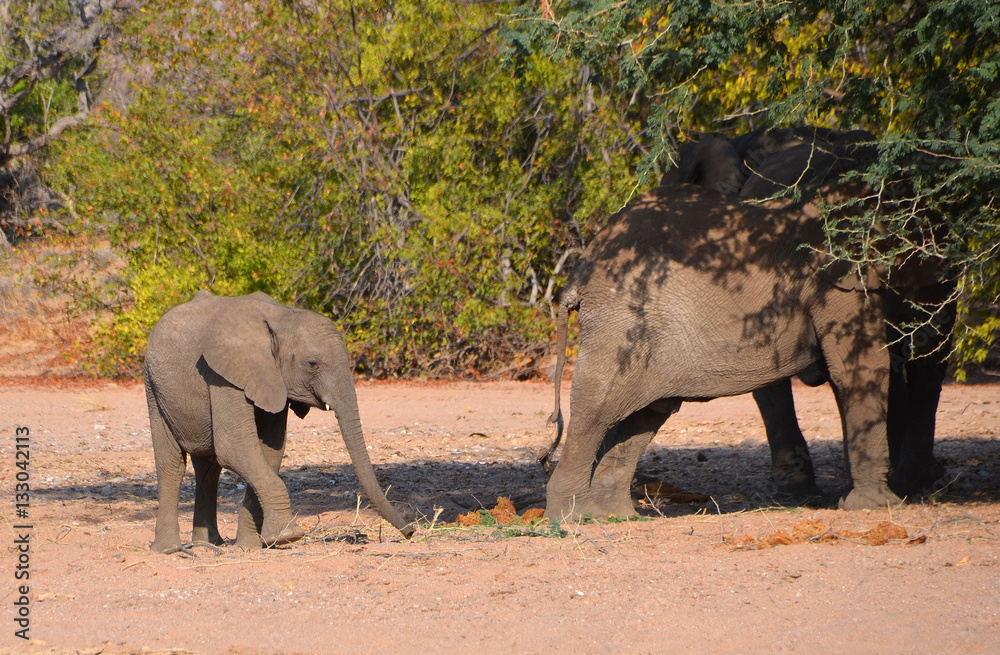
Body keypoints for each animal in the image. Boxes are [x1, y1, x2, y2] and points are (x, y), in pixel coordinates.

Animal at [144, 290, 414, 552]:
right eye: (313, 364)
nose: (411, 531)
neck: (282, 317)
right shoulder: (222, 375)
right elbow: (234, 448)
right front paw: (289, 536)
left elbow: (269, 452)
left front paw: (250, 548)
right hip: (153, 385)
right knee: (172, 464)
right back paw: (167, 549)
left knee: (208, 469)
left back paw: (209, 544)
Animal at [544, 182, 902, 521]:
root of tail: (579, 273)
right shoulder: (836, 283)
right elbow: (862, 367)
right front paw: (877, 505)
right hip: (621, 320)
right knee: (598, 406)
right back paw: (573, 516)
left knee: (647, 412)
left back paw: (616, 515)